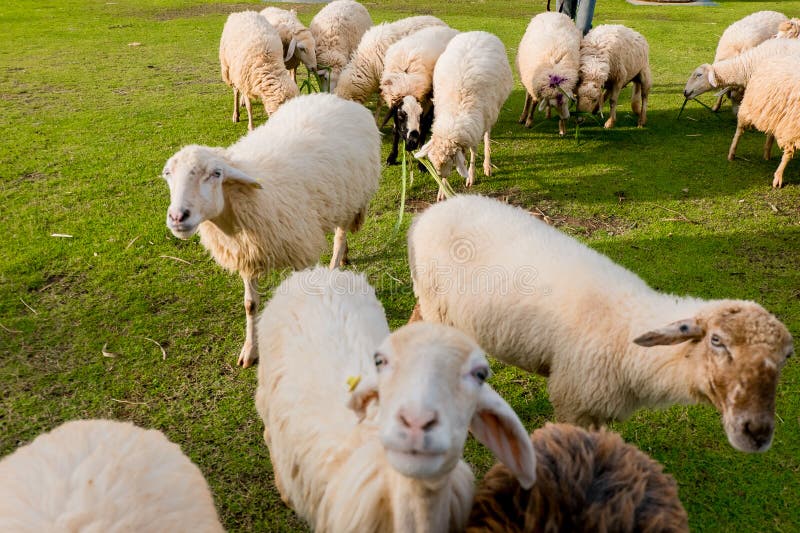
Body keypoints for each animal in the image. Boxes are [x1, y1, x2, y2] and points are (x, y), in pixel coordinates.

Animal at [162, 93, 381, 368]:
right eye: (167, 174)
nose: (177, 217)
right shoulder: (246, 253)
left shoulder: (299, 249)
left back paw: (335, 266)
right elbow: (250, 305)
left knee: (340, 237)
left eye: (216, 173)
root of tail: (336, 98)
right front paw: (250, 349)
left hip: (352, 196)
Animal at [380, 25, 460, 165]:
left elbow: (424, 127)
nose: (412, 143)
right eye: (401, 116)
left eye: (420, 115)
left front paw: (422, 163)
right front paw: (392, 157)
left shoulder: (428, 104)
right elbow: (396, 131)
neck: (406, 79)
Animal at [407, 194, 794, 452]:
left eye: (786, 357)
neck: (627, 330)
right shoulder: (573, 401)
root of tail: (434, 210)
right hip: (436, 302)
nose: (758, 432)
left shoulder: (597, 408)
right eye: (717, 341)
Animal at [415, 32, 513, 201]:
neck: (456, 111)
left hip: (491, 112)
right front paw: (442, 189)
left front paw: (471, 176)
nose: (441, 175)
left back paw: (487, 164)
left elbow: (474, 151)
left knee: (487, 135)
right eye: (433, 162)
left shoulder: (477, 126)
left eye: (450, 160)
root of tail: (480, 32)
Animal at [727, 56, 800, 188]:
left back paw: (767, 154)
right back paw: (732, 154)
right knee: (739, 130)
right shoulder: (793, 126)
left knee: (770, 132)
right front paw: (778, 178)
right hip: (750, 105)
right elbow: (788, 152)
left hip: (773, 112)